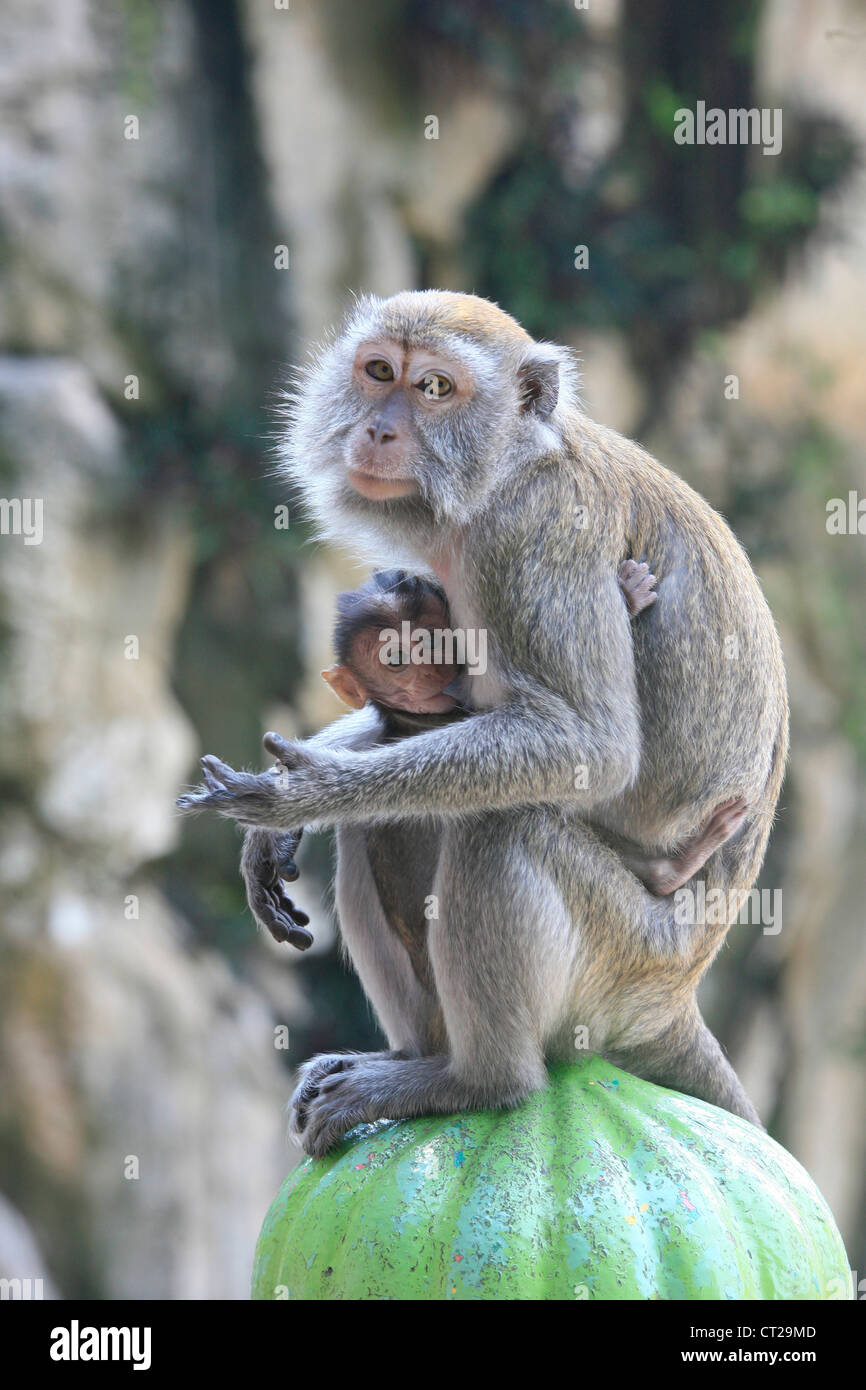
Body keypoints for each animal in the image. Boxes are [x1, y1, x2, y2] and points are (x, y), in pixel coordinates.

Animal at [178, 289, 788, 1156]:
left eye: (435, 388)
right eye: (378, 372)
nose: (379, 429)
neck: (507, 470)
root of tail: (676, 994)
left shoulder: (532, 539)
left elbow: (590, 747)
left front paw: (306, 793)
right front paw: (285, 813)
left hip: (625, 956)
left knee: (499, 826)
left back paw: (478, 1081)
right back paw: (415, 1057)